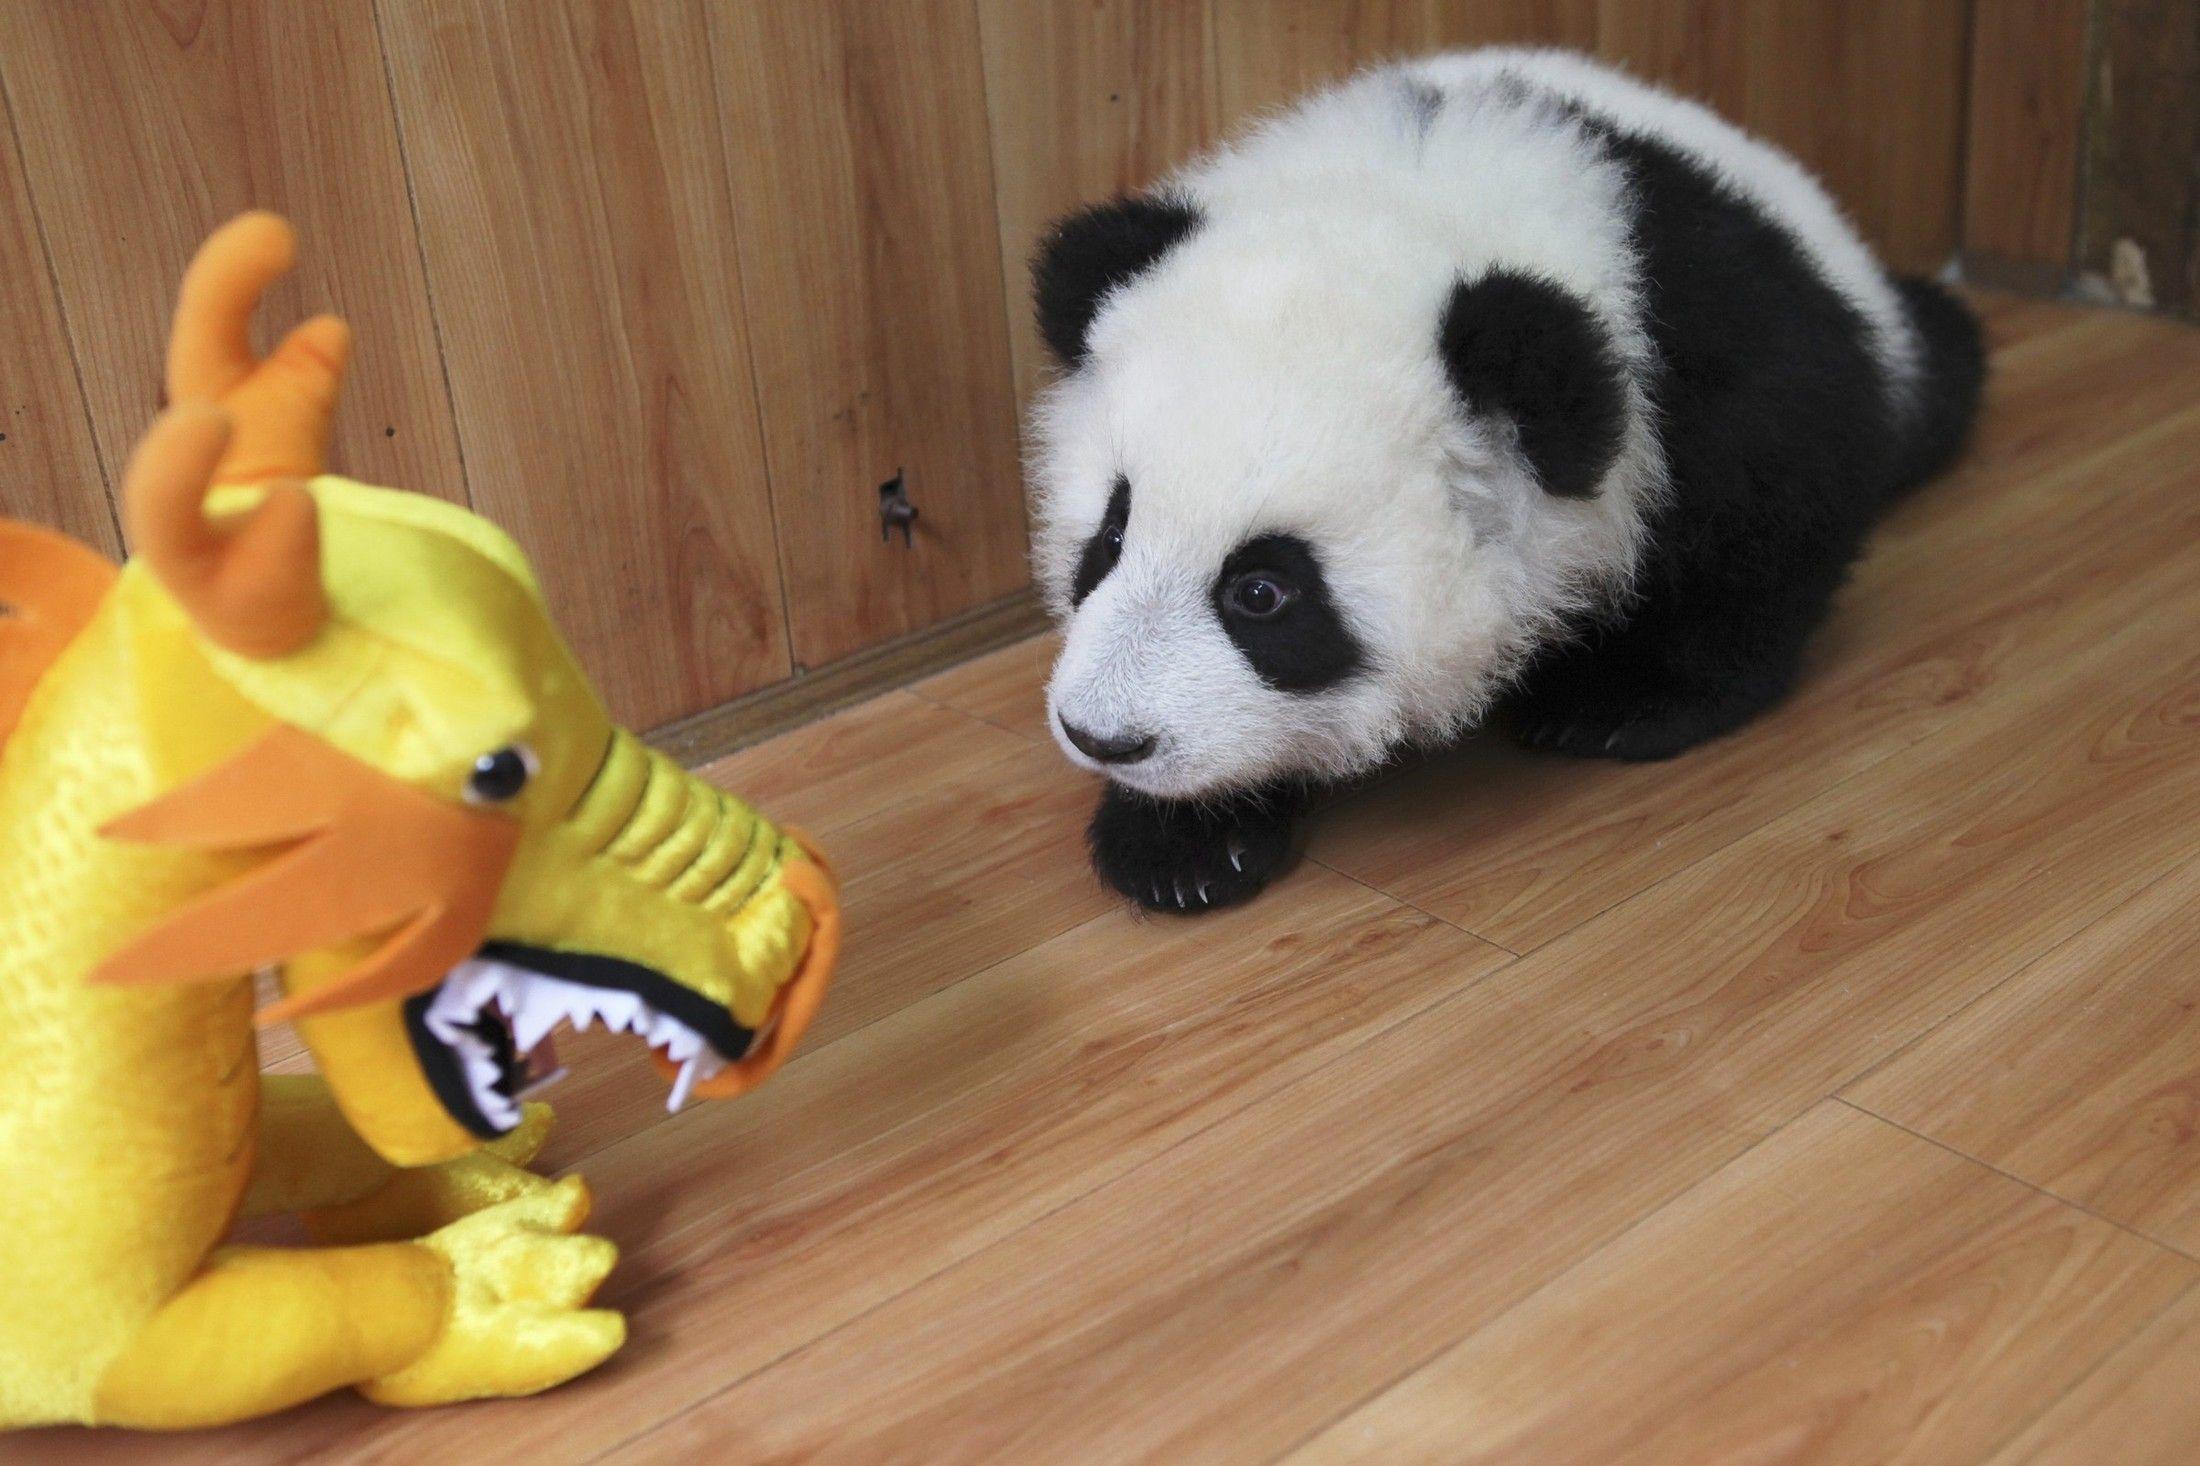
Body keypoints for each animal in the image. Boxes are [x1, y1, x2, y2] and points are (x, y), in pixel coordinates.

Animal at [1028, 48, 1985, 914]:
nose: (1102, 736)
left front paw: (1621, 697)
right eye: (1109, 538)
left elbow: (1771, 514)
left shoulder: (1712, 352)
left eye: (1263, 592)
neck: (1417, 202)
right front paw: (1183, 843)